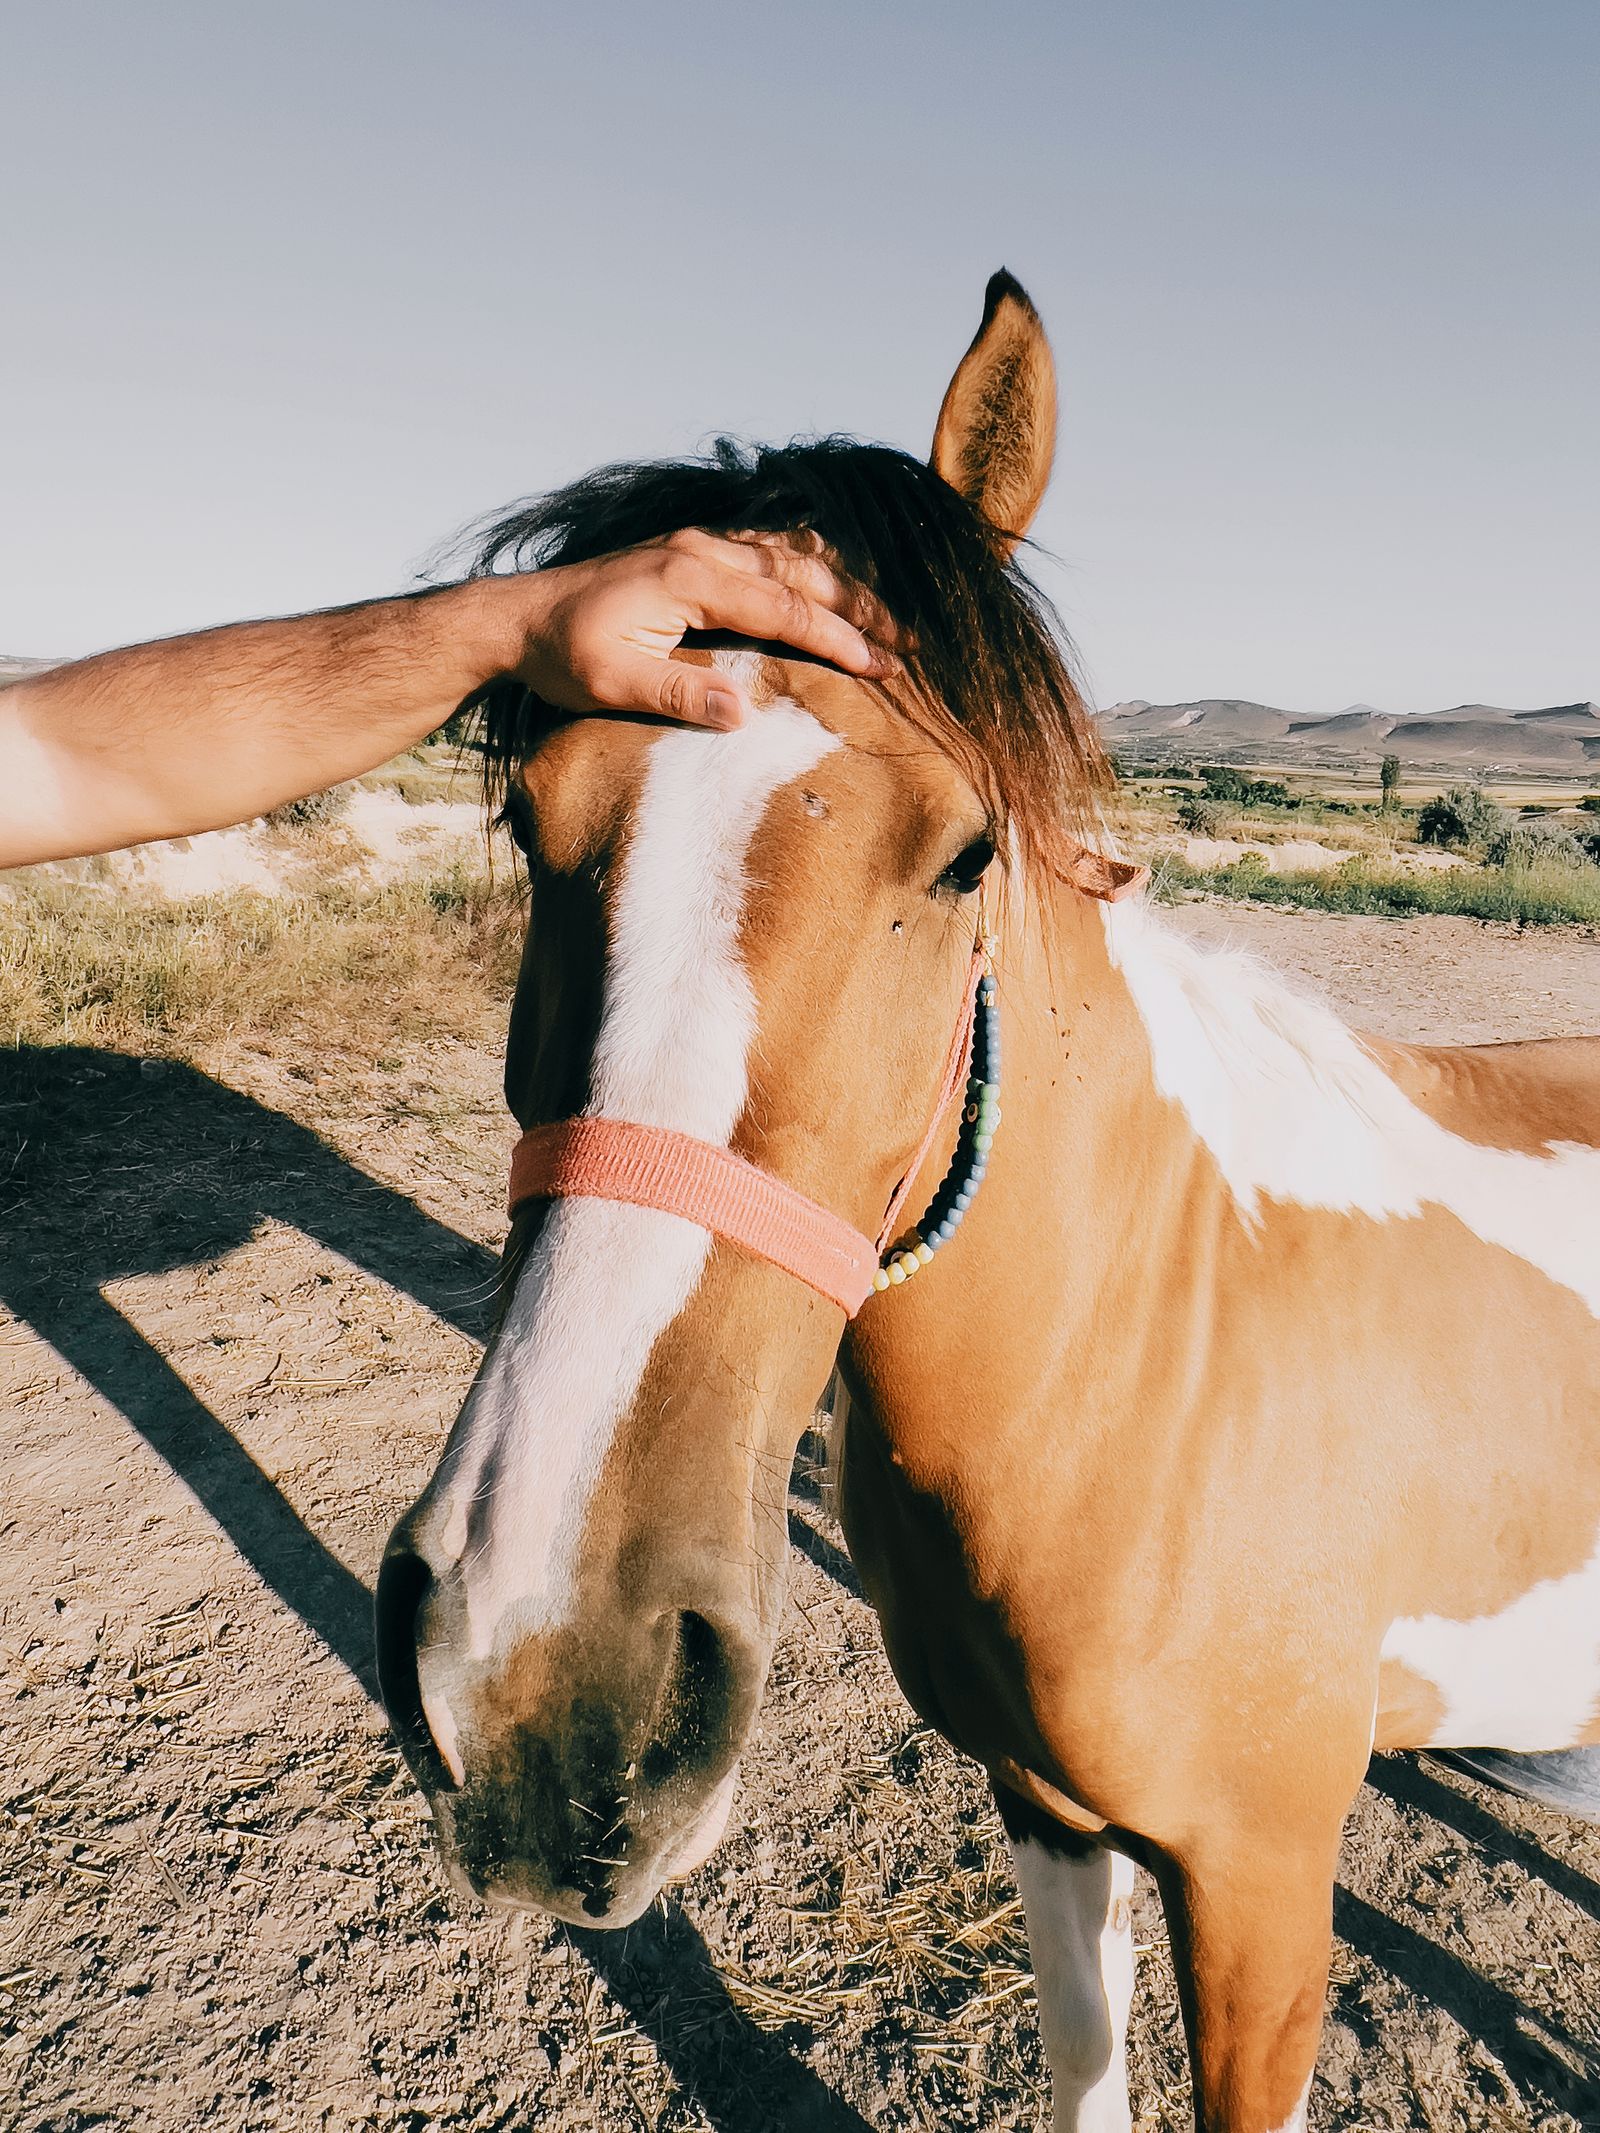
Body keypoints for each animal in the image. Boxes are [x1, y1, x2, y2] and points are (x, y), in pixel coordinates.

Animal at [376, 272, 1600, 2131]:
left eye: (962, 856)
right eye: (531, 816)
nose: (543, 1675)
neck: (1152, 1360)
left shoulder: (1262, 1887)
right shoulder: (1038, 1801)